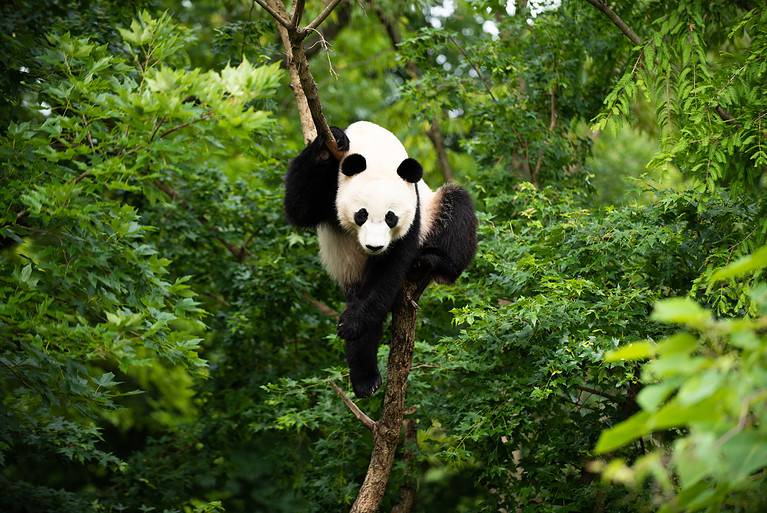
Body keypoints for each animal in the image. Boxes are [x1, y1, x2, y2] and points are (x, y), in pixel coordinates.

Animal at [285, 121, 477, 398]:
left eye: (391, 218)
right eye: (361, 214)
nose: (374, 247)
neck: (377, 154)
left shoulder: (415, 209)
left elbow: (390, 266)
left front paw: (351, 323)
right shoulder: (333, 184)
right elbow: (299, 206)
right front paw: (330, 141)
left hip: (435, 211)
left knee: (457, 206)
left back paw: (433, 263)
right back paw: (366, 380)